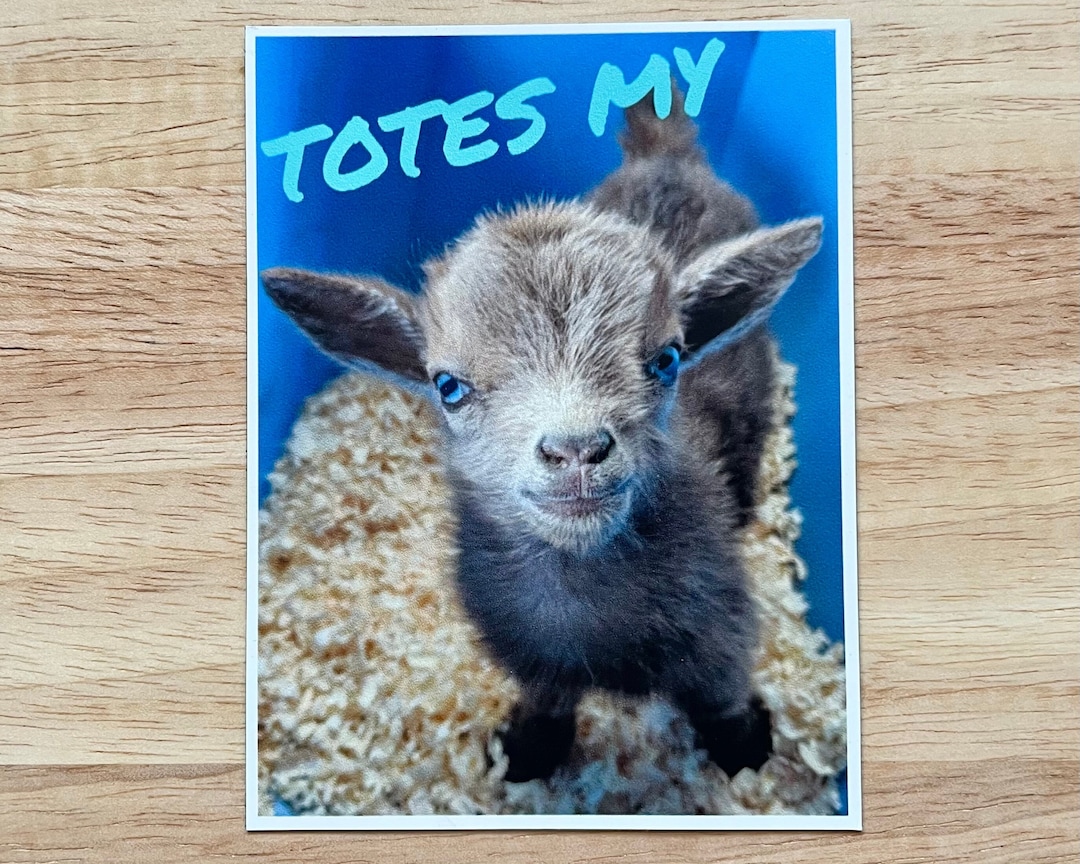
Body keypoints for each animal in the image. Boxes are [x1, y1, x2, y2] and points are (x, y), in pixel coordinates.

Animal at [261, 88, 822, 783]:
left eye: (667, 359)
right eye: (448, 385)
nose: (577, 449)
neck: (584, 605)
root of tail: (666, 158)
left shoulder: (724, 630)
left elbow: (723, 698)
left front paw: (743, 749)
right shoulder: (531, 654)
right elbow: (549, 701)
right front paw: (526, 751)